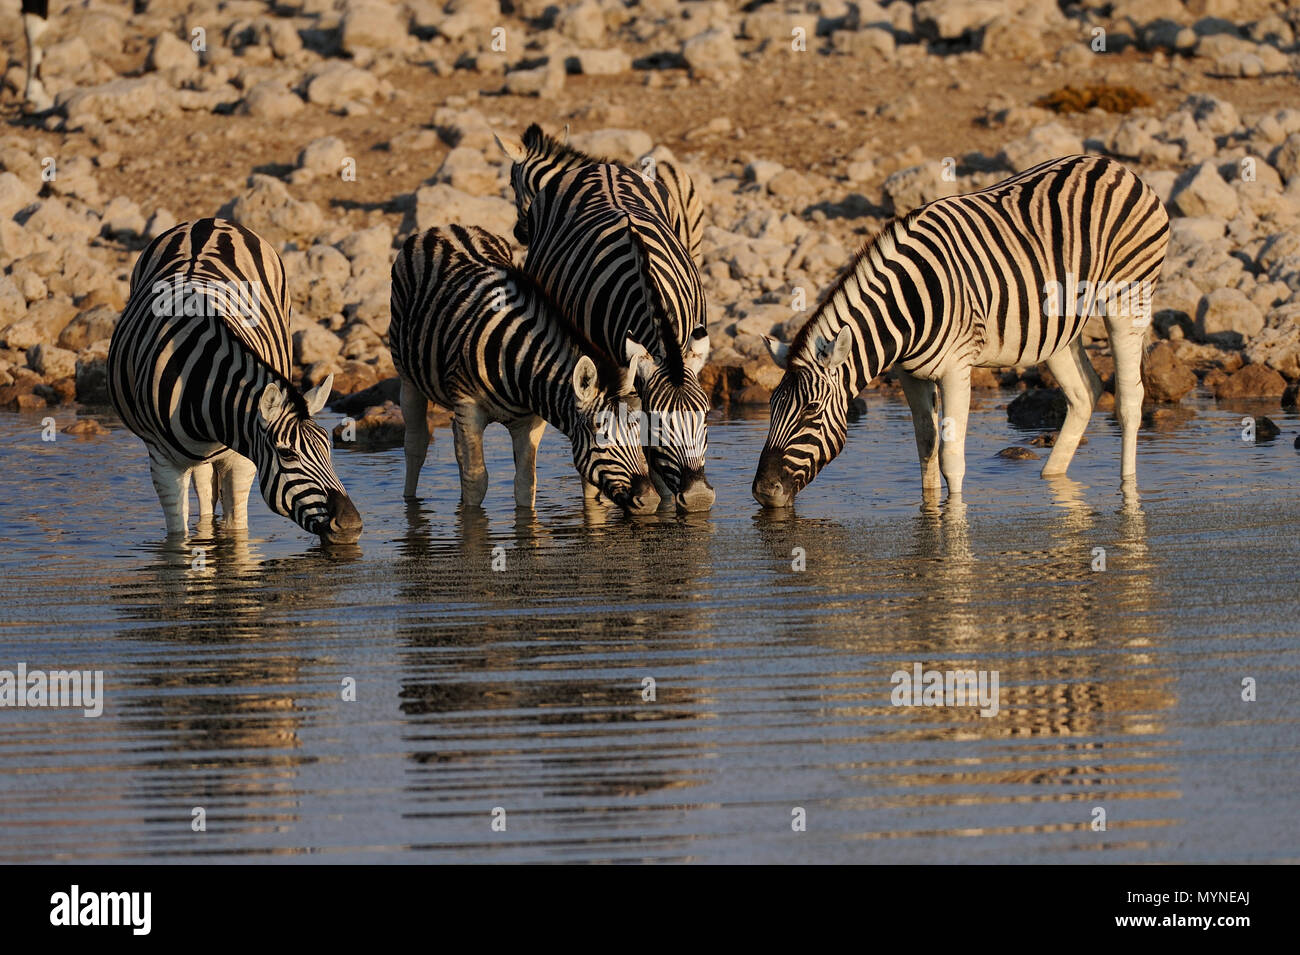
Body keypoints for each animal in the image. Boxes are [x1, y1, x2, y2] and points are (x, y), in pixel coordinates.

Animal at [108, 218, 363, 543]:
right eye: (287, 453)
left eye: (328, 447)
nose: (351, 525)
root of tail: (206, 221)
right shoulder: (162, 461)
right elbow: (178, 537)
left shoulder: (243, 456)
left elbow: (236, 530)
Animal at [389, 224, 659, 514]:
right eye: (601, 435)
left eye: (639, 431)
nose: (651, 501)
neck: (518, 364)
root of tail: (446, 227)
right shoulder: (469, 408)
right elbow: (476, 481)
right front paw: (470, 522)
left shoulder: (530, 421)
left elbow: (525, 483)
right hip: (407, 377)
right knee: (416, 445)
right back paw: (408, 502)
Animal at [753, 155, 1170, 507]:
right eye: (772, 406)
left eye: (811, 411)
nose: (762, 492)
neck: (908, 305)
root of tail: (1112, 164)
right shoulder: (909, 374)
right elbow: (926, 447)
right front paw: (930, 509)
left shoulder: (956, 369)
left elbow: (950, 457)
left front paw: (953, 522)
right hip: (1057, 330)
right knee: (1085, 392)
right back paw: (1051, 477)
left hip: (1127, 297)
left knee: (1129, 400)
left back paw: (1128, 489)